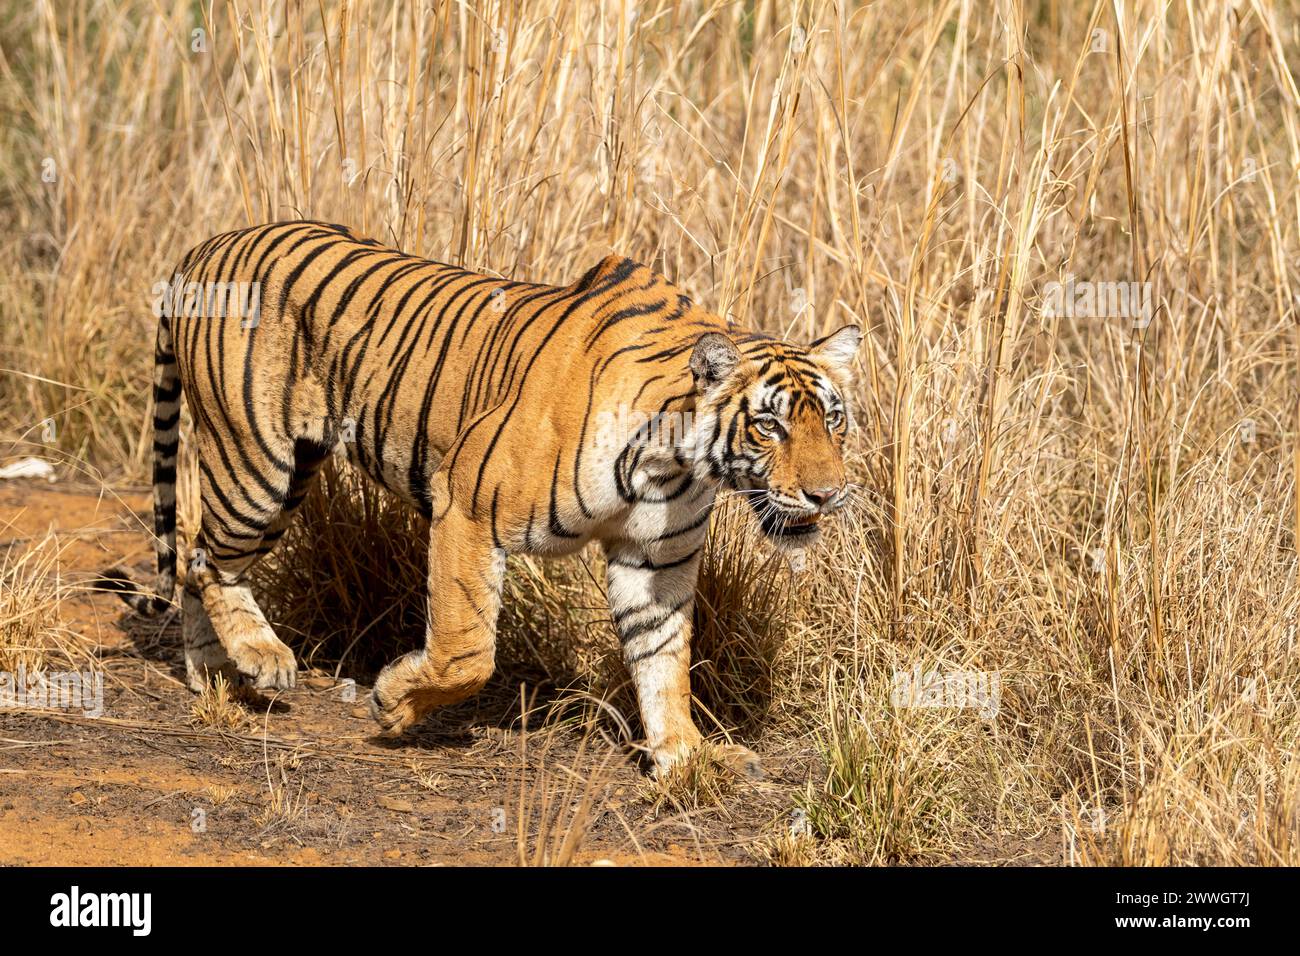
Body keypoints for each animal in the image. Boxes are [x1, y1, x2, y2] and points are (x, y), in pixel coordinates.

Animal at [100, 220, 861, 776]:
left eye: (834, 418)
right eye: (769, 425)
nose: (827, 494)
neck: (674, 464)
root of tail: (205, 246)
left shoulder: (655, 562)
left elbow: (663, 660)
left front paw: (686, 758)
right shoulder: (466, 505)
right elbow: (468, 649)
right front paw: (395, 704)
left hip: (289, 474)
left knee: (194, 555)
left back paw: (214, 678)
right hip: (256, 464)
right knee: (206, 556)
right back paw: (260, 658)